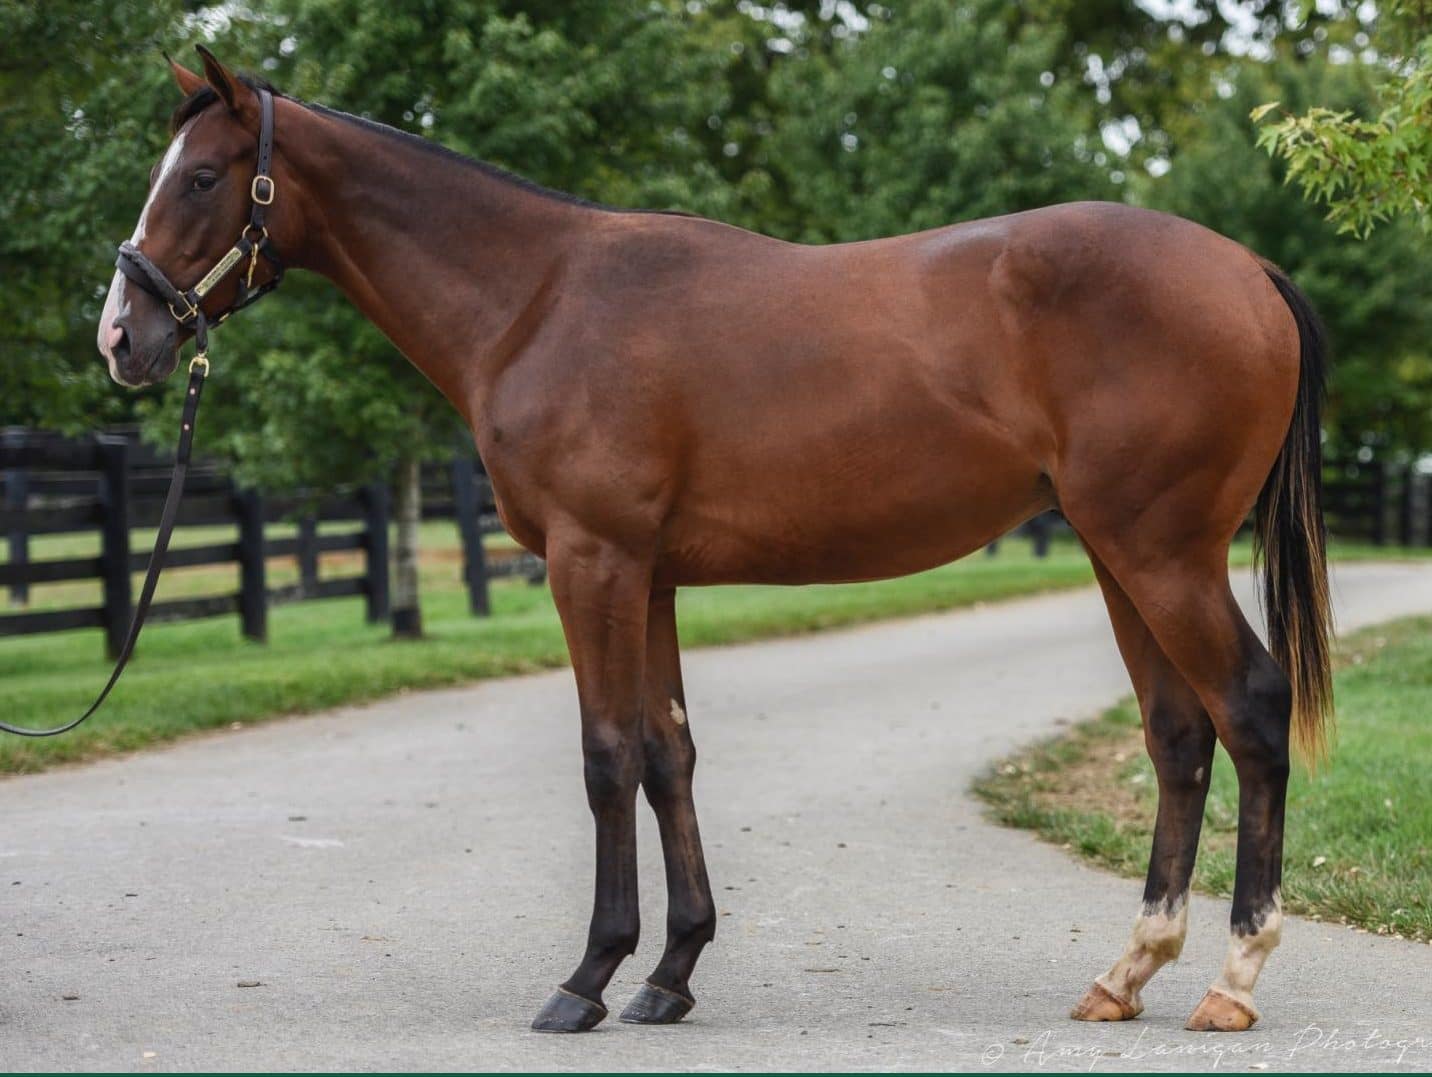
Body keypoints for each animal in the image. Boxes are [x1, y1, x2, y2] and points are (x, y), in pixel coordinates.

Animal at [98, 48, 1333, 1034]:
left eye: (202, 177)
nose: (122, 335)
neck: (537, 298)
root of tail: (1248, 270)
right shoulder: (647, 577)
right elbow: (667, 757)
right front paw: (671, 971)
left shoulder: (591, 563)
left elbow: (605, 757)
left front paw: (587, 978)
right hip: (1120, 555)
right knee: (1179, 734)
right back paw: (1127, 972)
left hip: (1161, 554)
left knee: (1250, 708)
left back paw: (1232, 978)